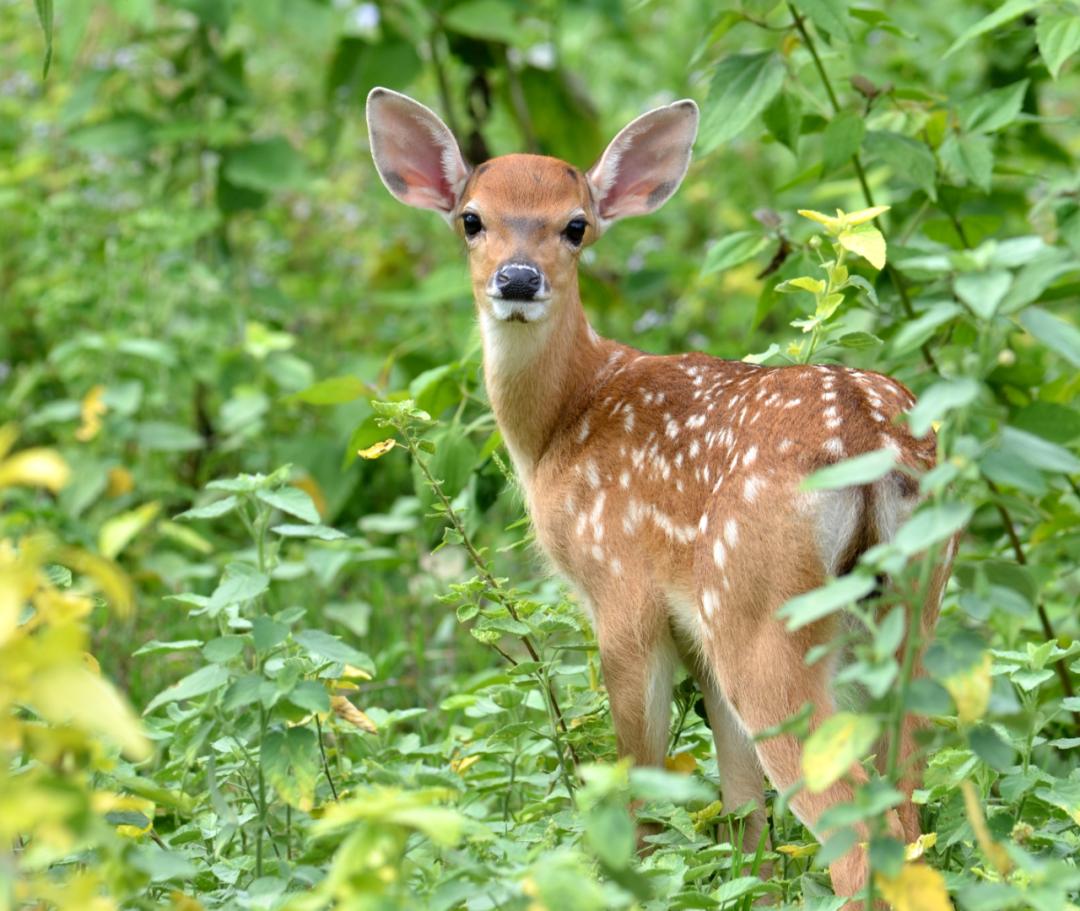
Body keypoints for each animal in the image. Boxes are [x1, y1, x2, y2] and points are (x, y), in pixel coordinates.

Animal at [365, 86, 955, 902]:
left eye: (575, 225)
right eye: (472, 218)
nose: (517, 280)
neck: (564, 418)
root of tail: (870, 437)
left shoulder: (622, 590)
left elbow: (637, 794)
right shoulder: (695, 627)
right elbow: (744, 815)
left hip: (763, 614)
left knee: (860, 830)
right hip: (910, 613)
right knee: (909, 811)